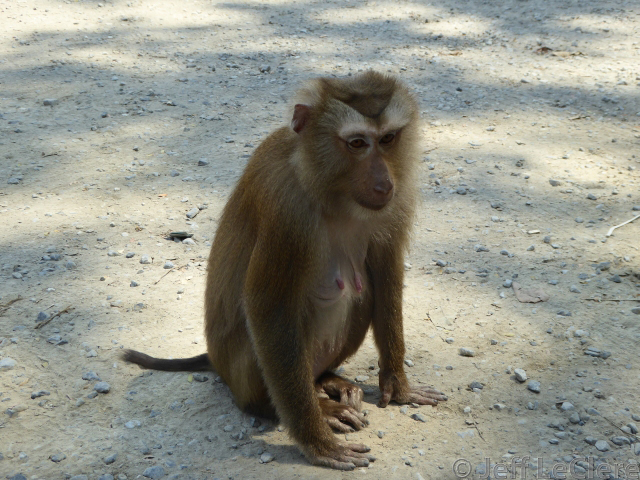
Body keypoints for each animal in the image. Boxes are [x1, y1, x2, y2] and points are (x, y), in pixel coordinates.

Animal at [123, 70, 447, 470]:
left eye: (388, 138)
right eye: (357, 143)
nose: (383, 182)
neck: (329, 188)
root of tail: (217, 362)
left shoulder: (396, 203)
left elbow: (386, 277)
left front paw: (399, 386)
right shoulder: (286, 209)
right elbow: (268, 308)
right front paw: (317, 442)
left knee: (361, 291)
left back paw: (328, 381)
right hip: (244, 374)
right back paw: (313, 406)